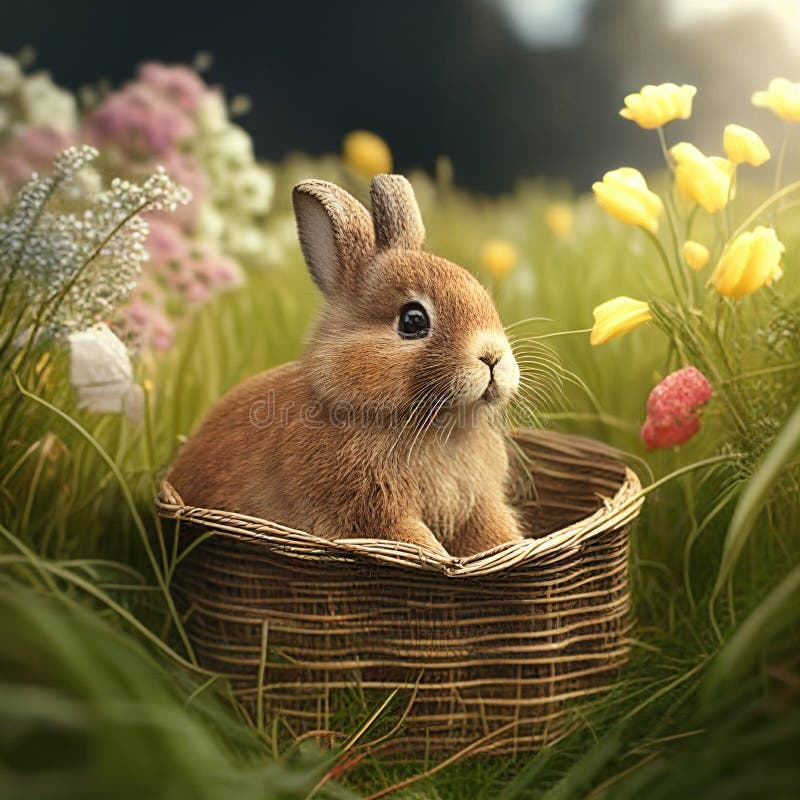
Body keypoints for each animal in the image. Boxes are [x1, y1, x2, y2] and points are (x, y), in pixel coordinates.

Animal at [168, 174, 523, 557]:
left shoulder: (478, 505)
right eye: (413, 321)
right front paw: (440, 558)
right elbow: (411, 537)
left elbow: (494, 531)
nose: (493, 356)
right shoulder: (373, 512)